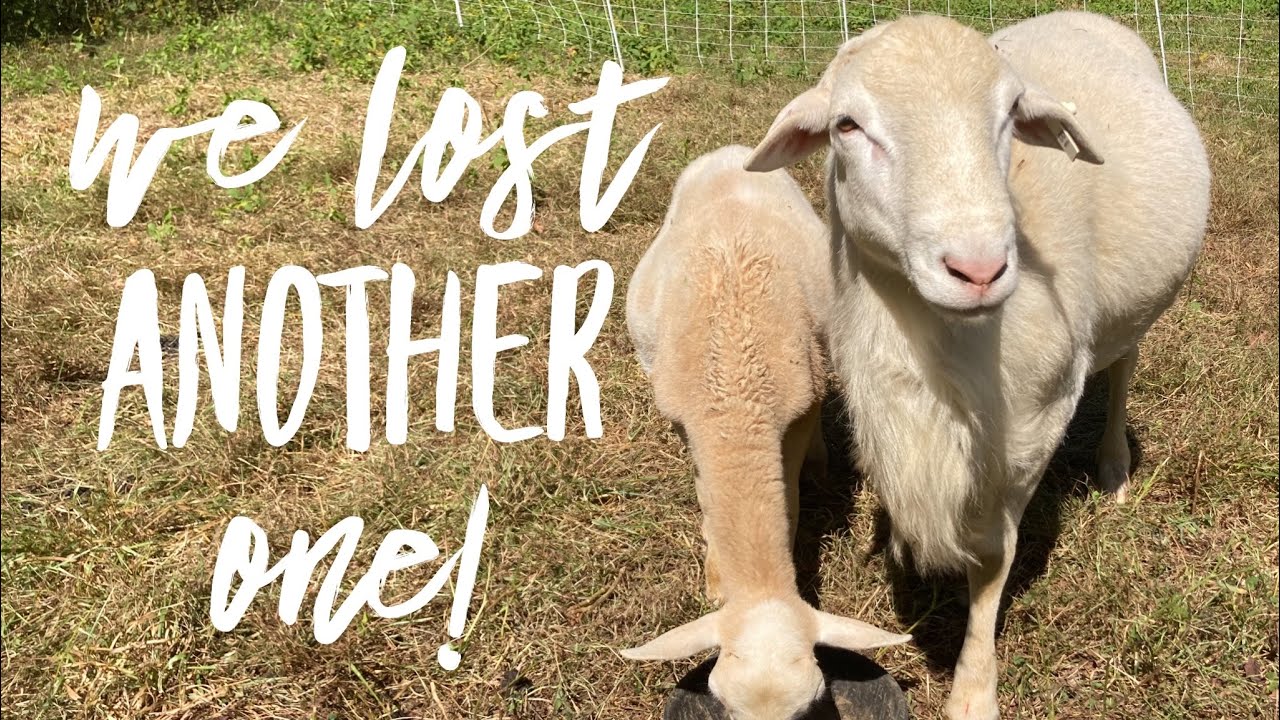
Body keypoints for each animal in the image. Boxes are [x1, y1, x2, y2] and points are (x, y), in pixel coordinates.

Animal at [620, 144, 911, 720]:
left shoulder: (796, 406)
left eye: (812, 705)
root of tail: (728, 154)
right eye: (721, 704)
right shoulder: (689, 420)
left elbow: (792, 491)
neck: (735, 401)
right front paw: (715, 574)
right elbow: (705, 496)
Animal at [743, 12, 1210, 719]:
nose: (979, 268)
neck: (941, 345)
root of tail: (1081, 13)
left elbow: (993, 554)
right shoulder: (884, 398)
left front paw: (973, 687)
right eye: (847, 126)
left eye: (1011, 114)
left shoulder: (1031, 424)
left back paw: (1113, 468)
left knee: (1124, 366)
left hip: (1131, 313)